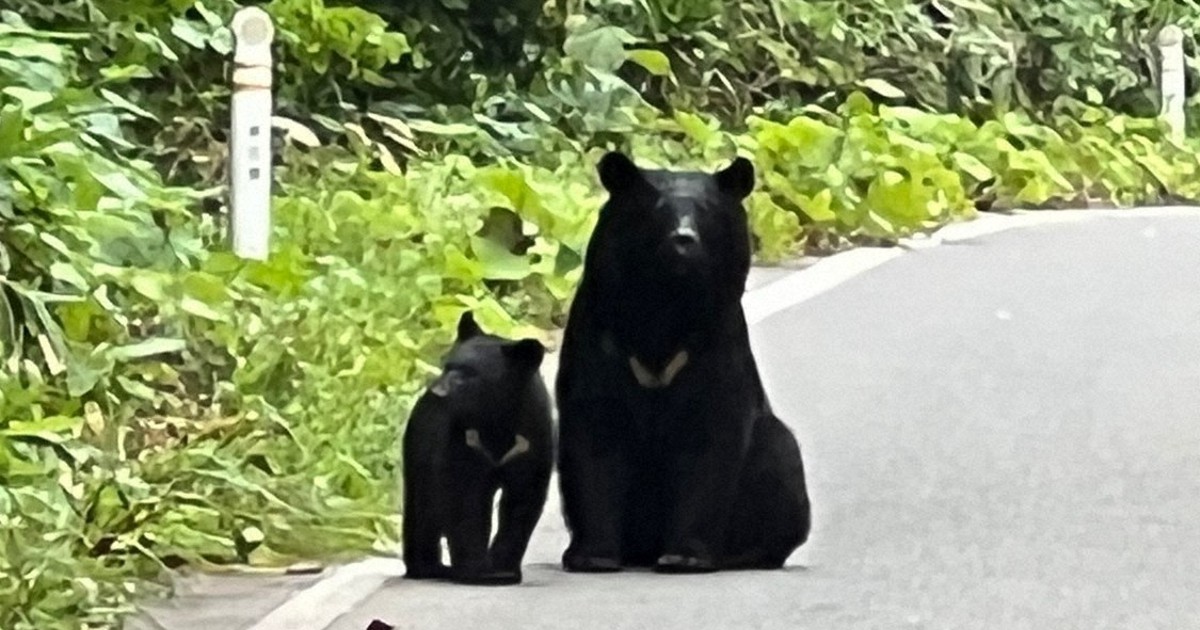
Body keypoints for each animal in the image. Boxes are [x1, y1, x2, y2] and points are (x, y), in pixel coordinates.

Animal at [402, 311, 554, 585]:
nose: (437, 392)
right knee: (422, 510)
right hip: (418, 452)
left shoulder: (532, 440)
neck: (496, 420)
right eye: (447, 364)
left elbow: (522, 500)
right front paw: (477, 570)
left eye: (470, 373)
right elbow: (465, 500)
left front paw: (505, 570)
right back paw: (428, 567)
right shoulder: (463, 441)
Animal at [554, 151, 812, 574]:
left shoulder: (716, 343)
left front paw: (685, 556)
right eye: (655, 210)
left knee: (782, 468)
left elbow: (710, 445)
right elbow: (594, 442)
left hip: (773, 453)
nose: (684, 240)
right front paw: (593, 555)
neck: (668, 300)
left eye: (706, 211)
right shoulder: (599, 343)